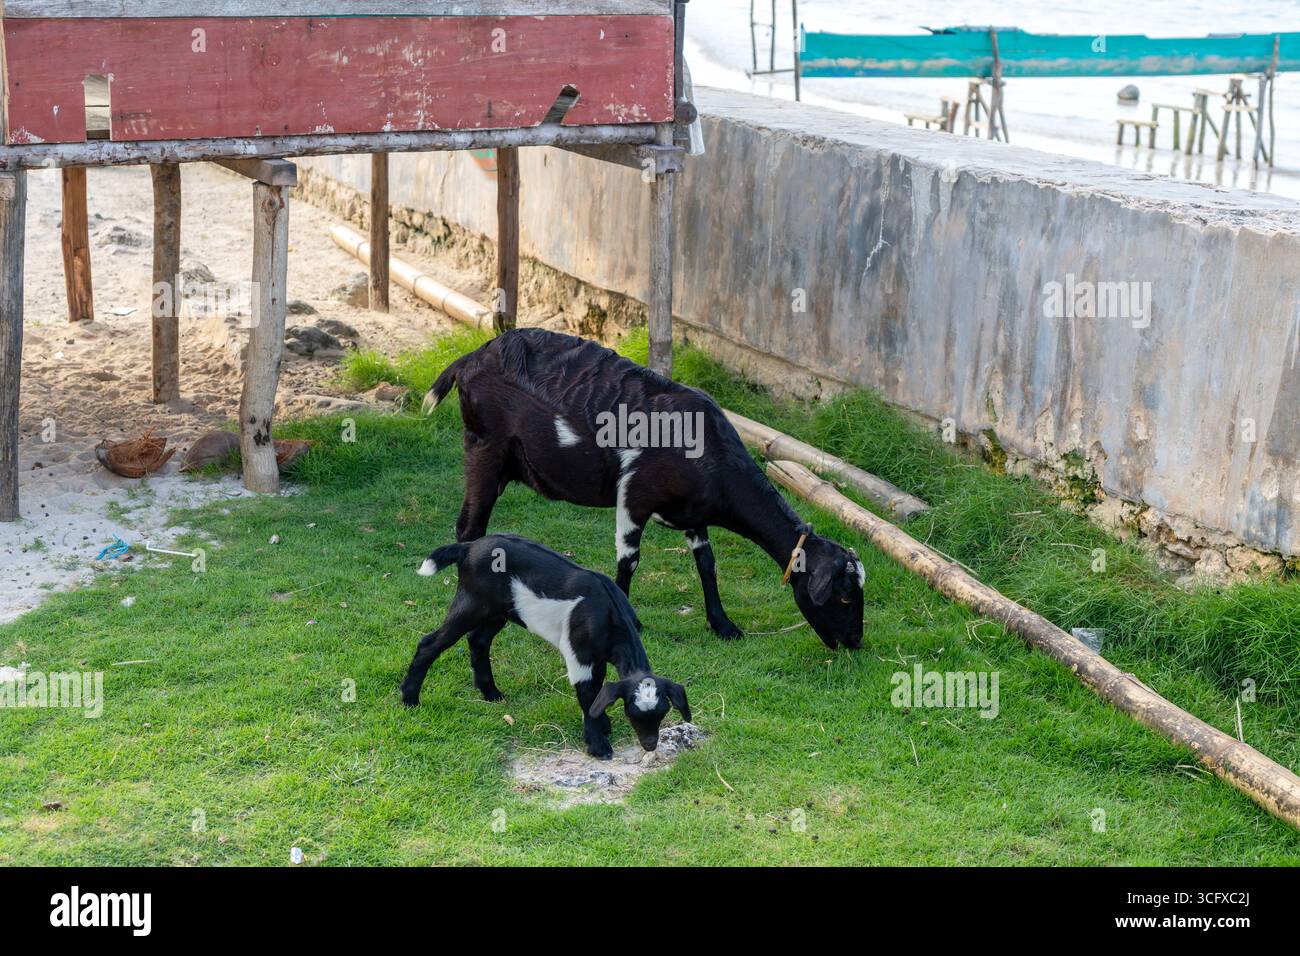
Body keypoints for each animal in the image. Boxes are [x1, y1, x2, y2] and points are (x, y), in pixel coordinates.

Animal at [401, 533, 691, 758]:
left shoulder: (597, 657)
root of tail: (469, 547)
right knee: (430, 643)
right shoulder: (578, 654)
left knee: (478, 640)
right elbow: (586, 694)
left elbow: (597, 690)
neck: (608, 613)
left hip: (498, 611)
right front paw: (598, 746)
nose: (650, 745)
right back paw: (409, 699)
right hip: (471, 602)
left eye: (662, 713)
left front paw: (603, 725)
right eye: (632, 714)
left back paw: (490, 693)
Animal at [422, 329, 865, 650]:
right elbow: (628, 563)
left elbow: (707, 564)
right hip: (484, 447)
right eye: (844, 596)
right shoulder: (633, 497)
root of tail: (470, 357)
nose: (855, 642)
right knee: (469, 527)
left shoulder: (693, 511)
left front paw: (723, 625)